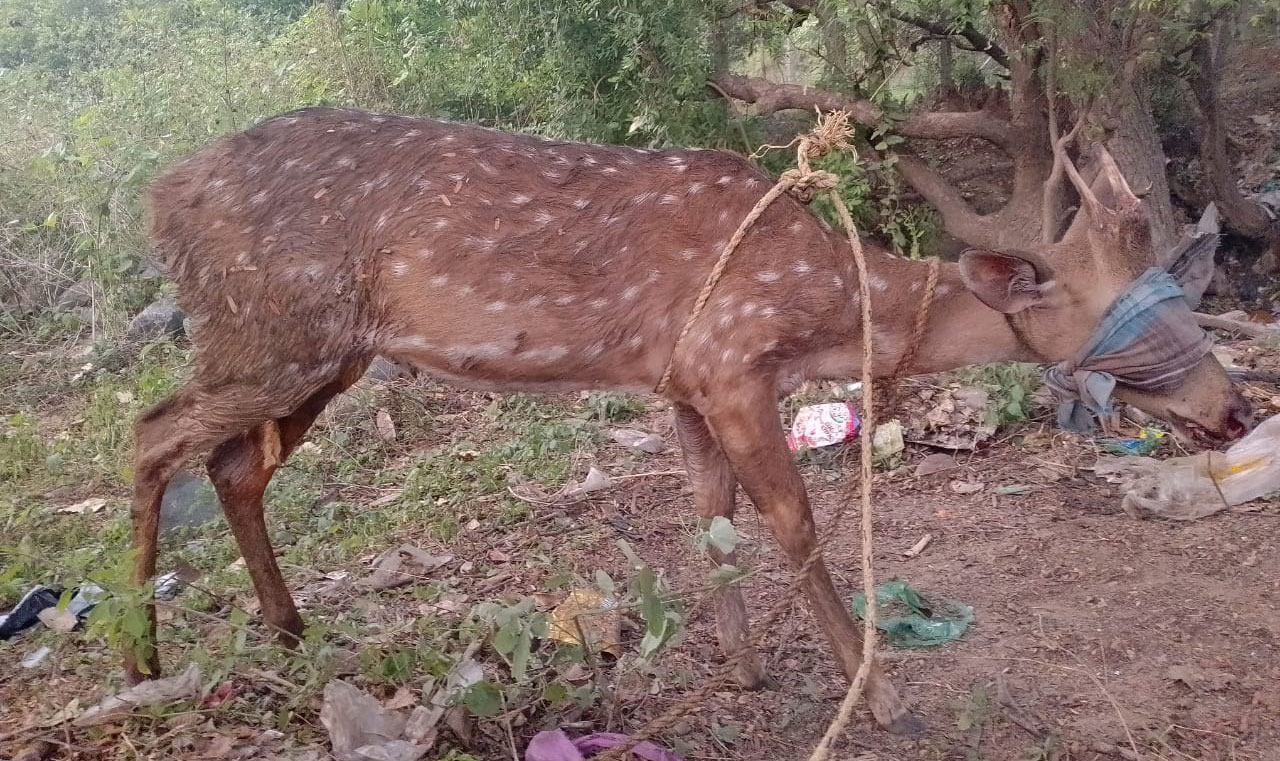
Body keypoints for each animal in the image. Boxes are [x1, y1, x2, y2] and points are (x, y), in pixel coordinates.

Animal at [127, 106, 1252, 734]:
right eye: (1123, 307)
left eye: (1179, 285)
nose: (1234, 407)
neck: (819, 311)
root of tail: (157, 198)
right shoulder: (728, 359)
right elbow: (792, 524)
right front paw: (876, 696)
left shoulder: (680, 381)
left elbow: (710, 516)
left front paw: (744, 666)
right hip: (274, 328)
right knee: (152, 433)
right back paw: (139, 657)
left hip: (320, 350)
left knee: (233, 464)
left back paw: (285, 628)